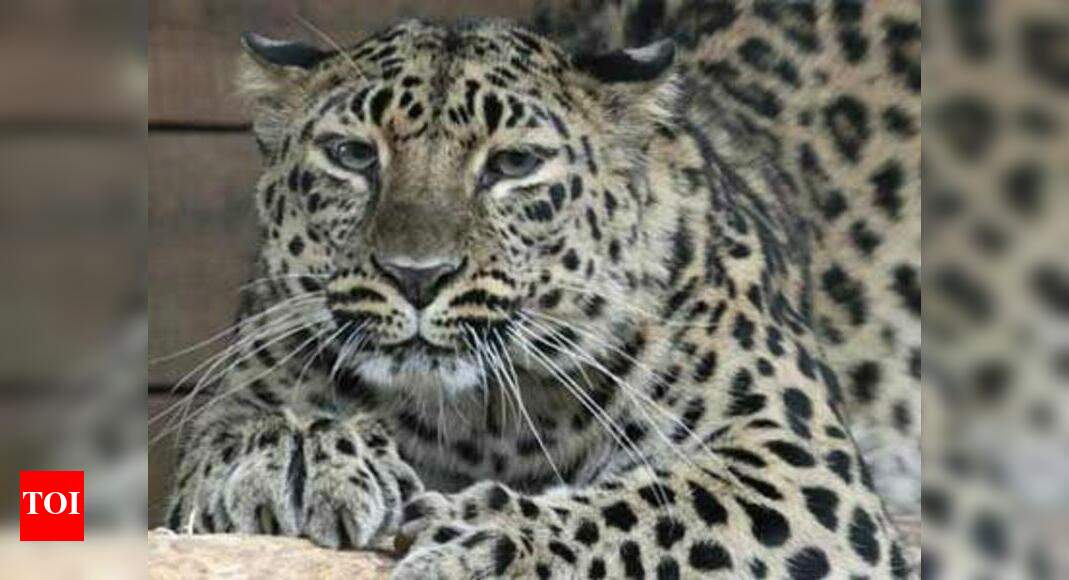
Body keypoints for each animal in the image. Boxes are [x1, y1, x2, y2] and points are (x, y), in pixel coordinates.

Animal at [165, 2, 921, 578]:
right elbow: (230, 432)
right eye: (352, 156)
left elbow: (657, 505)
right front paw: (299, 449)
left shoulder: (794, 461)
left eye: (513, 164)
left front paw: (484, 537)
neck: (487, 420)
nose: (417, 275)